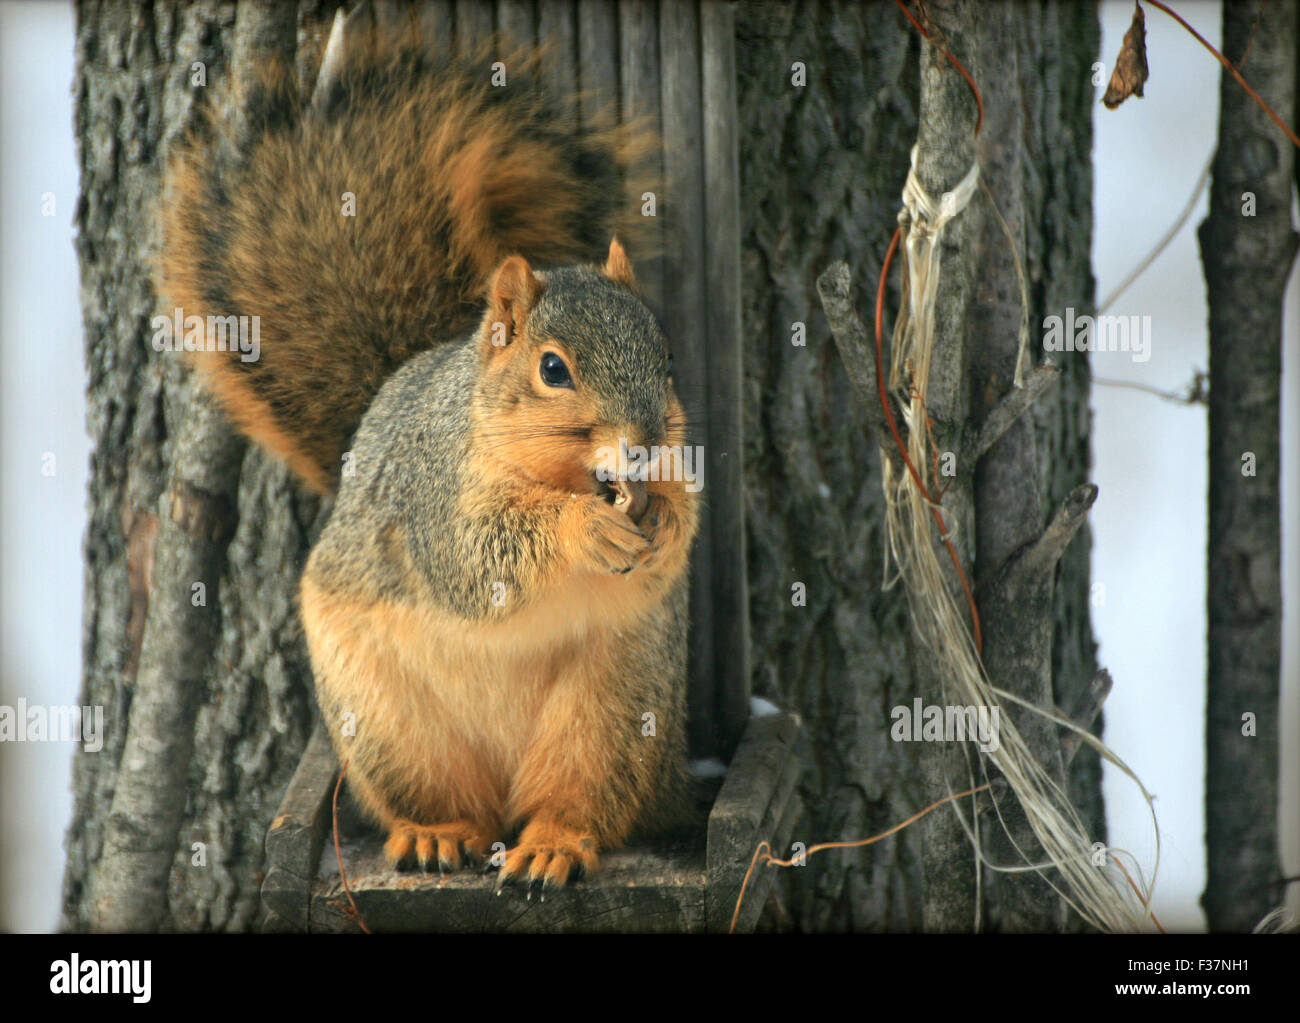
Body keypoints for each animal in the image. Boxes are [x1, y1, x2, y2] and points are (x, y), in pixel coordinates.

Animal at [156, 9, 699, 890]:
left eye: (669, 354)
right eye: (554, 369)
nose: (646, 446)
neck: (559, 471)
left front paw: (665, 522)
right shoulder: (434, 499)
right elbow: (478, 558)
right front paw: (587, 528)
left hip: (619, 706)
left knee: (577, 799)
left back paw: (553, 843)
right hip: (386, 720)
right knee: (446, 801)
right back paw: (439, 834)